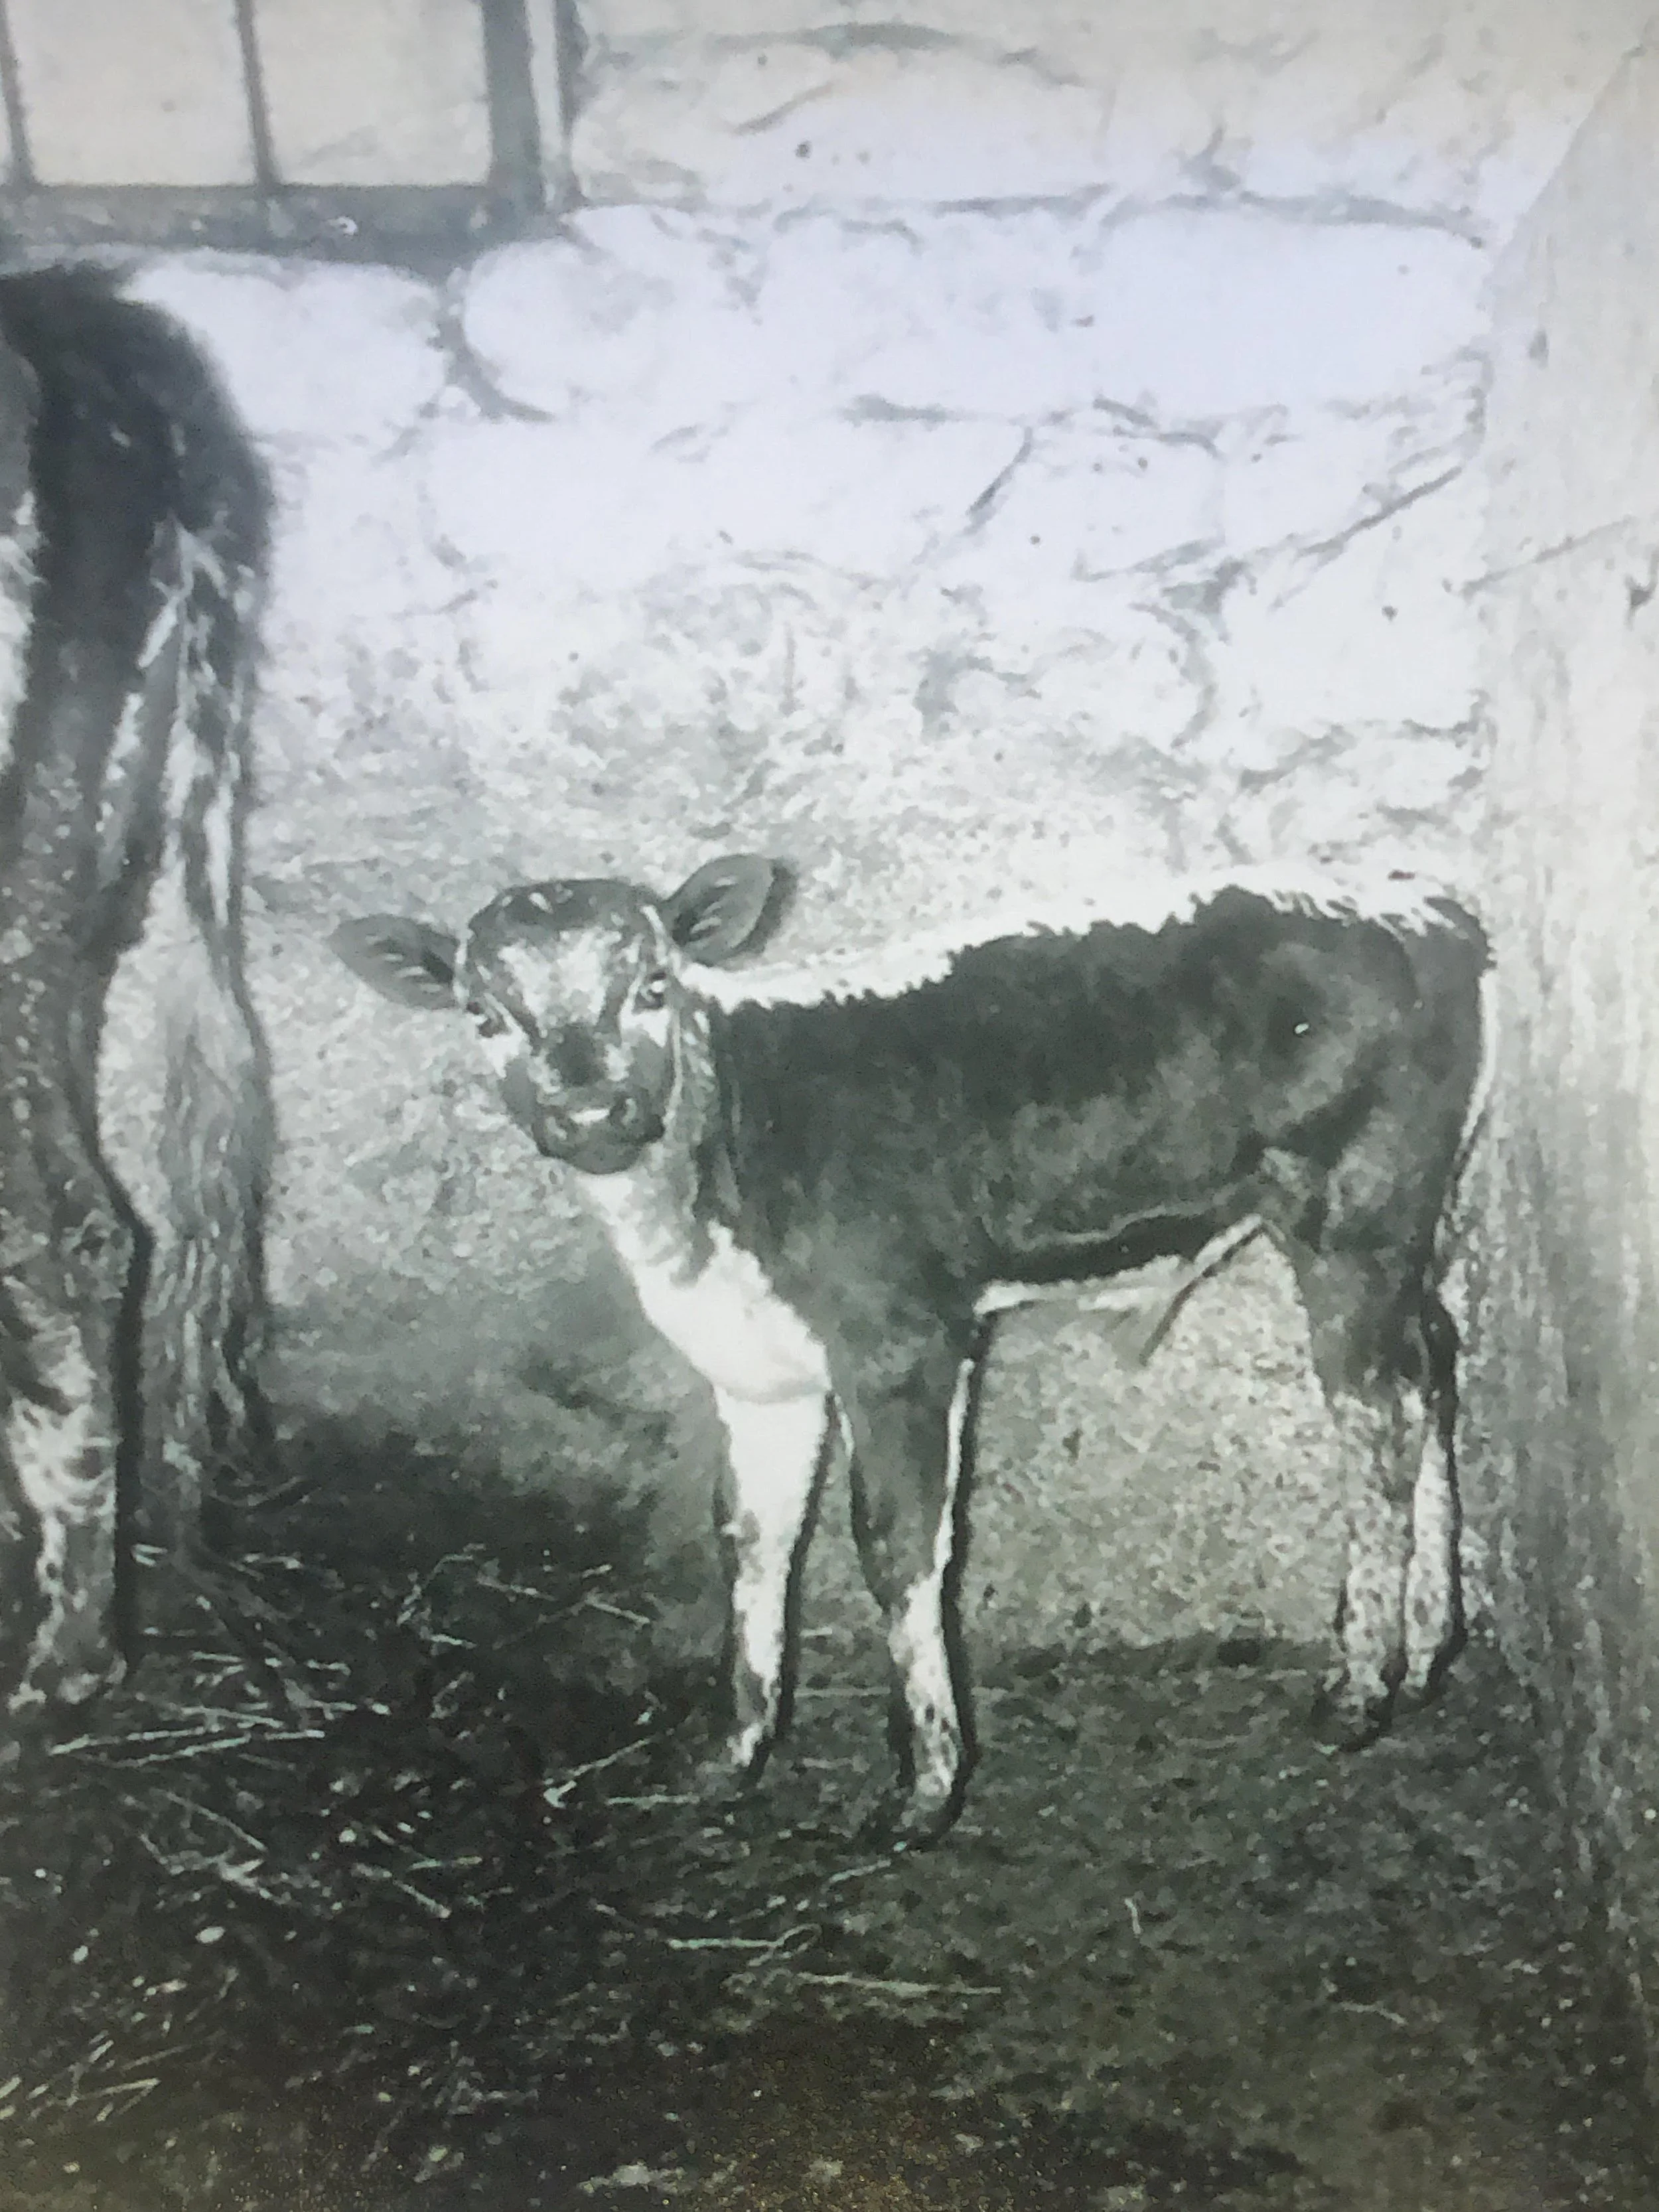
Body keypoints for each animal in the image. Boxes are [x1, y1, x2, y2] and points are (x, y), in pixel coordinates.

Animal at [332, 853, 1491, 1846]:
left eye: (653, 987)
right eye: (484, 1015)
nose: (587, 1109)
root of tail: (1427, 901)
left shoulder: (900, 1338)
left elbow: (896, 1544)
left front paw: (925, 1787)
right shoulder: (759, 1369)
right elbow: (751, 1538)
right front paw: (733, 1752)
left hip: (1352, 1214)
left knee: (1376, 1413)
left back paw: (1358, 1687)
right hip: (1408, 1232)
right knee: (1433, 1364)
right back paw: (1430, 1645)